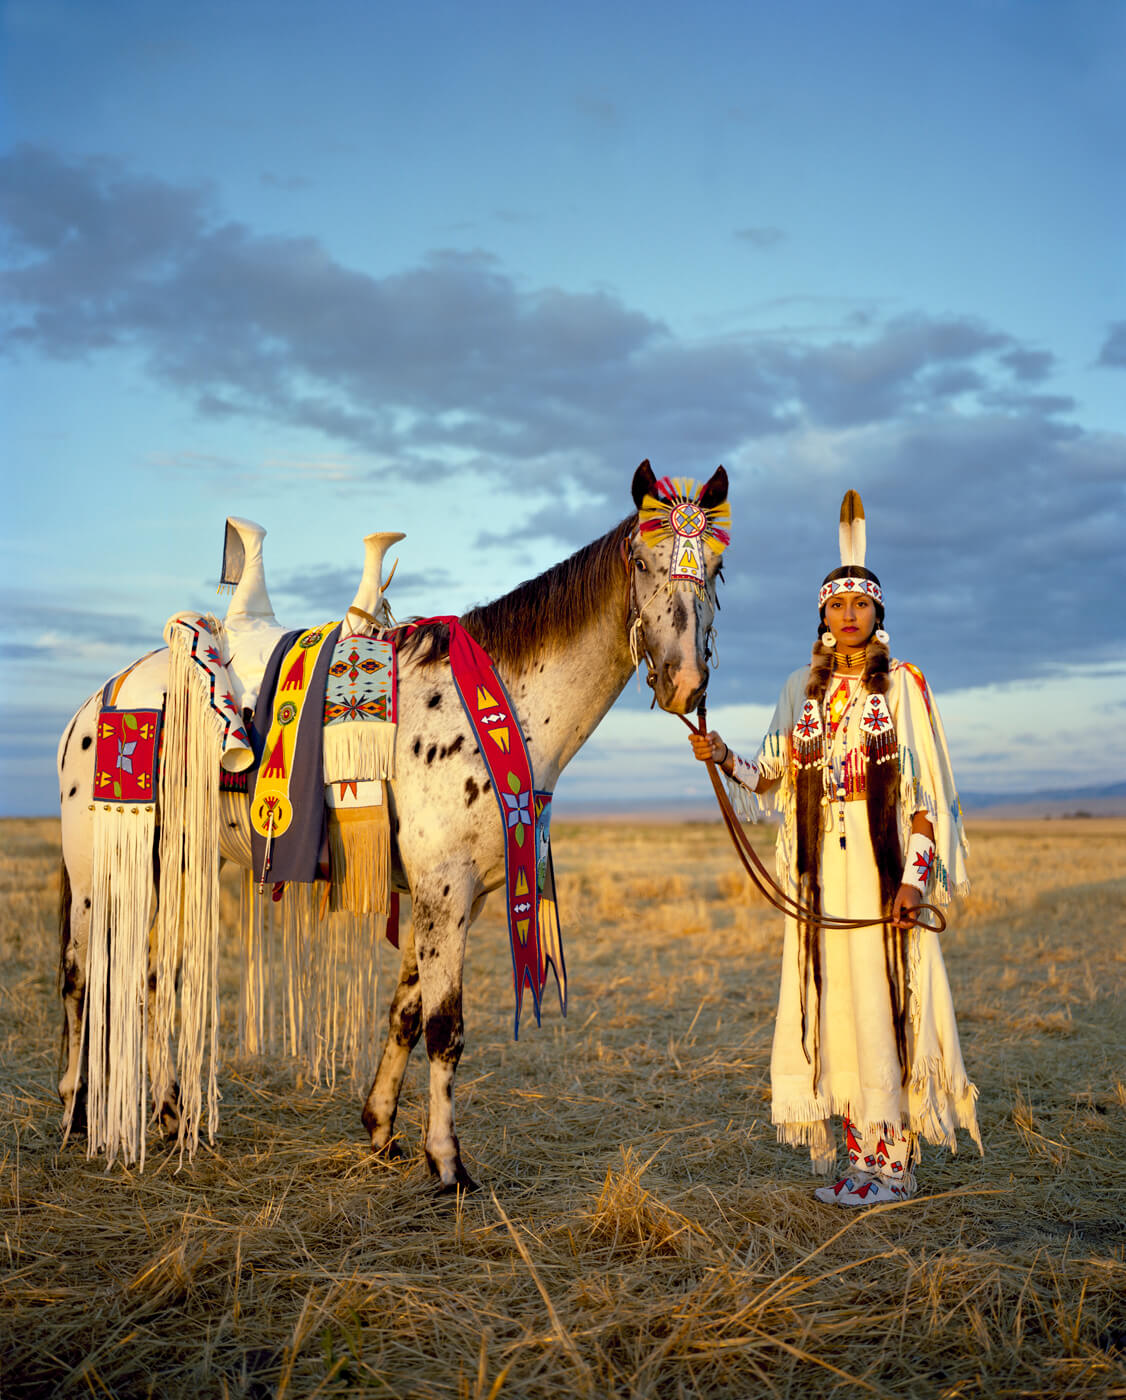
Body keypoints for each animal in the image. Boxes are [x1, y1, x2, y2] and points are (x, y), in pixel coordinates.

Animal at [55, 461, 730, 1190]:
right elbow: (445, 1028)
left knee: (156, 977)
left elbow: (406, 1014)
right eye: (640, 560)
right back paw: (77, 1112)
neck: (493, 702)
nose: (685, 682)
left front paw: (380, 1128)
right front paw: (449, 1164)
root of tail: (101, 697)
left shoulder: (455, 897)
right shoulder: (445, 890)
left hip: (180, 863)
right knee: (83, 975)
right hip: (100, 869)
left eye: (717, 569)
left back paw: (171, 1113)